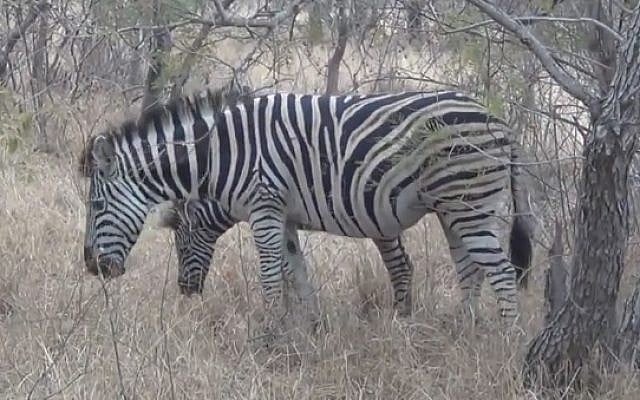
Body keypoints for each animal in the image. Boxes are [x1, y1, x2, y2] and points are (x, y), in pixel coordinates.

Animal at [80, 88, 534, 324]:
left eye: (97, 205)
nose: (92, 267)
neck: (220, 154)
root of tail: (499, 121)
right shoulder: (283, 216)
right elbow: (295, 272)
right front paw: (307, 327)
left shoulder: (264, 208)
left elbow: (270, 276)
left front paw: (267, 333)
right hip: (453, 208)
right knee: (470, 269)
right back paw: (463, 329)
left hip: (469, 202)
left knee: (500, 272)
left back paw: (502, 338)